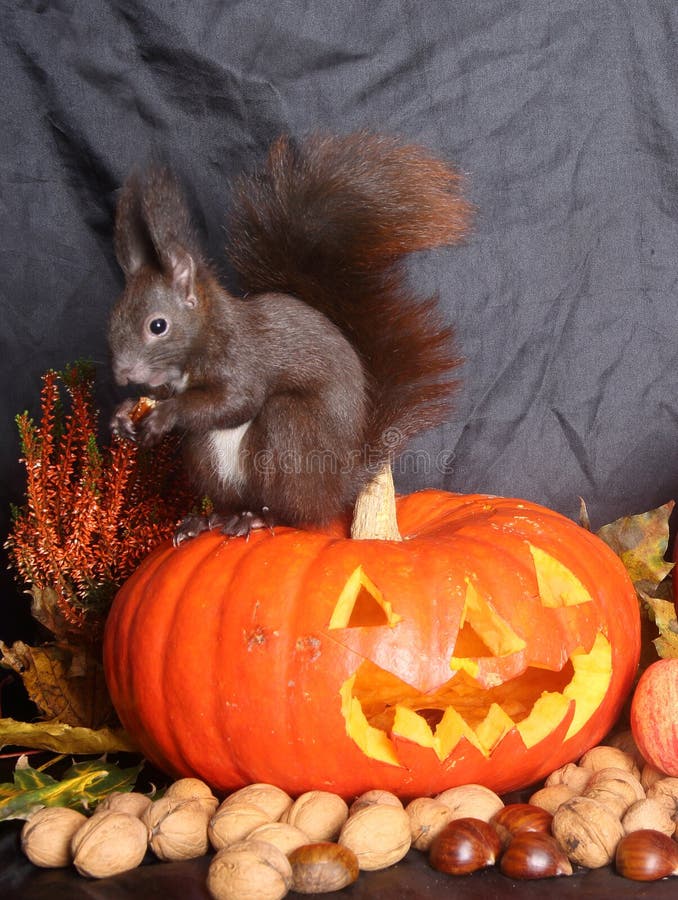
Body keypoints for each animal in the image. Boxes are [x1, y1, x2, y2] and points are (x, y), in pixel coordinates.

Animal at [108, 132, 472, 542]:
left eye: (158, 326)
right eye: (114, 317)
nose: (122, 373)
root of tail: (339, 486)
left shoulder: (244, 358)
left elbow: (238, 402)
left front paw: (164, 415)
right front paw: (123, 414)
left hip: (292, 435)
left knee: (294, 510)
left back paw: (257, 519)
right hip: (206, 456)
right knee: (233, 497)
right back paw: (207, 519)